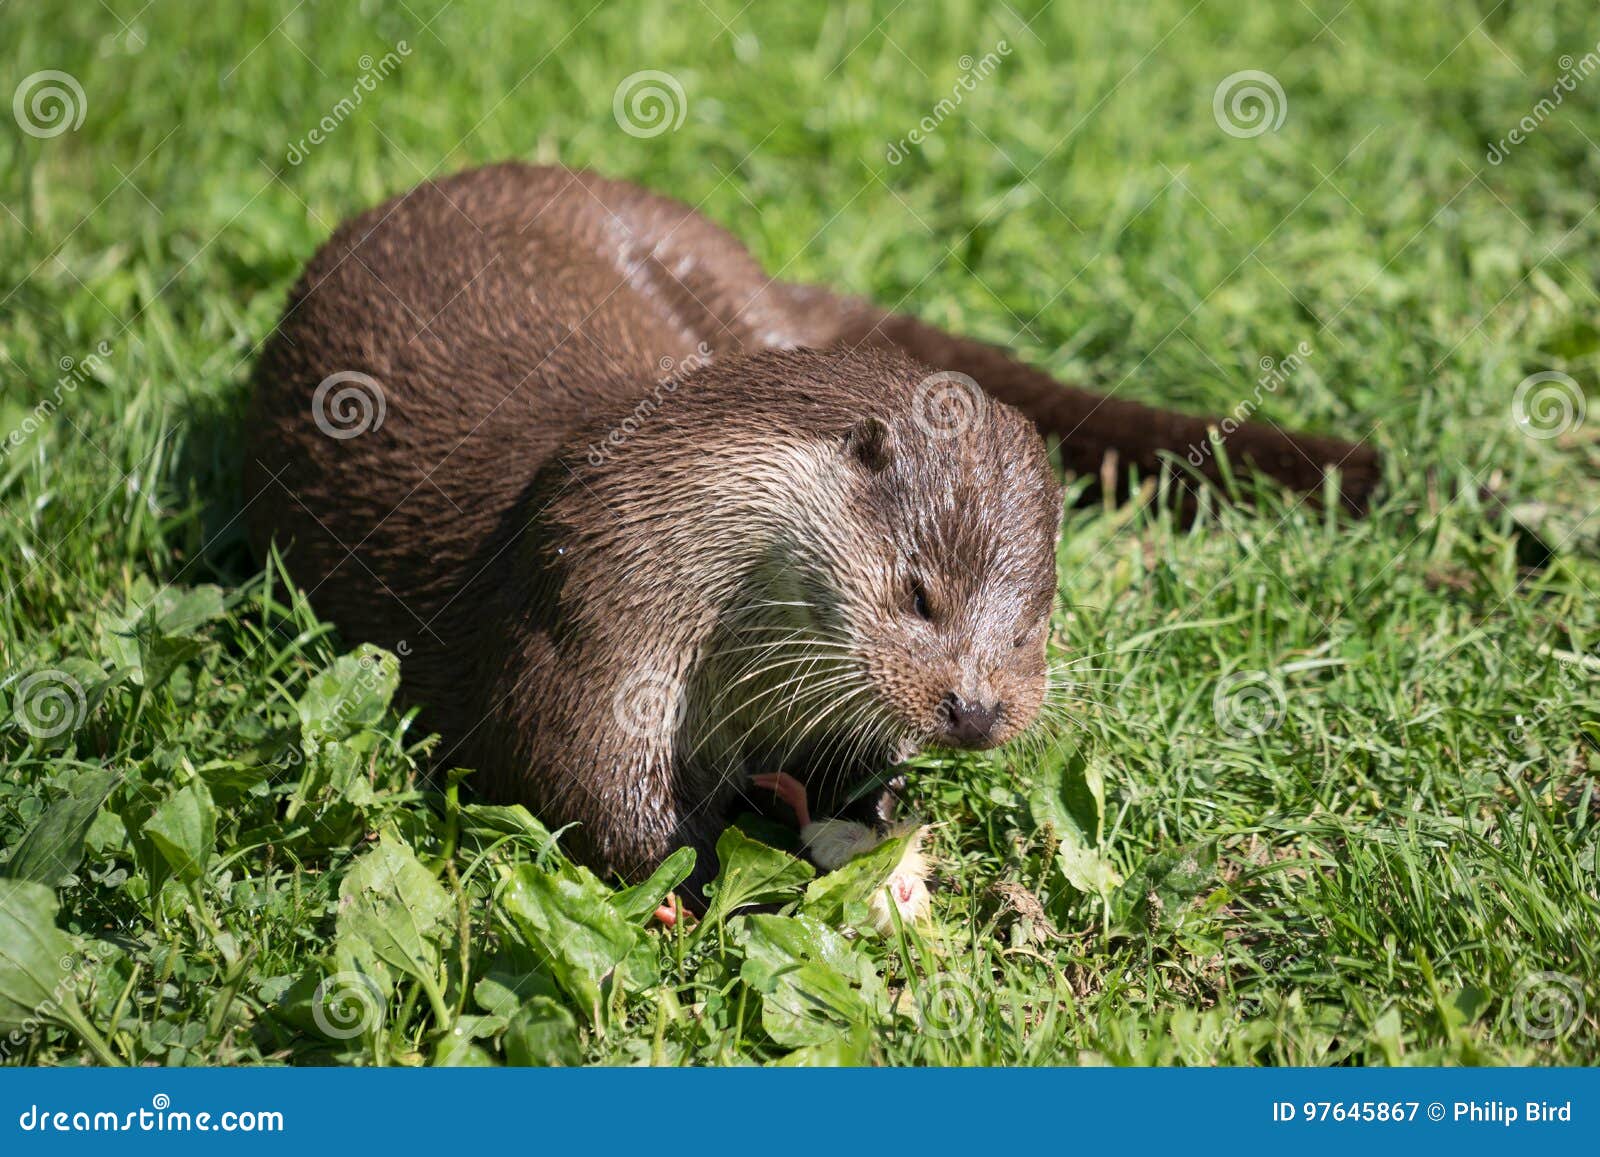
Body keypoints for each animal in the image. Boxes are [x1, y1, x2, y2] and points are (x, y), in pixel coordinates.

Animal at [246, 163, 1378, 904]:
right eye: (917, 591)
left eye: (1033, 626)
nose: (975, 710)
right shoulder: (577, 601)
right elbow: (589, 793)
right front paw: (749, 868)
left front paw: (870, 820)